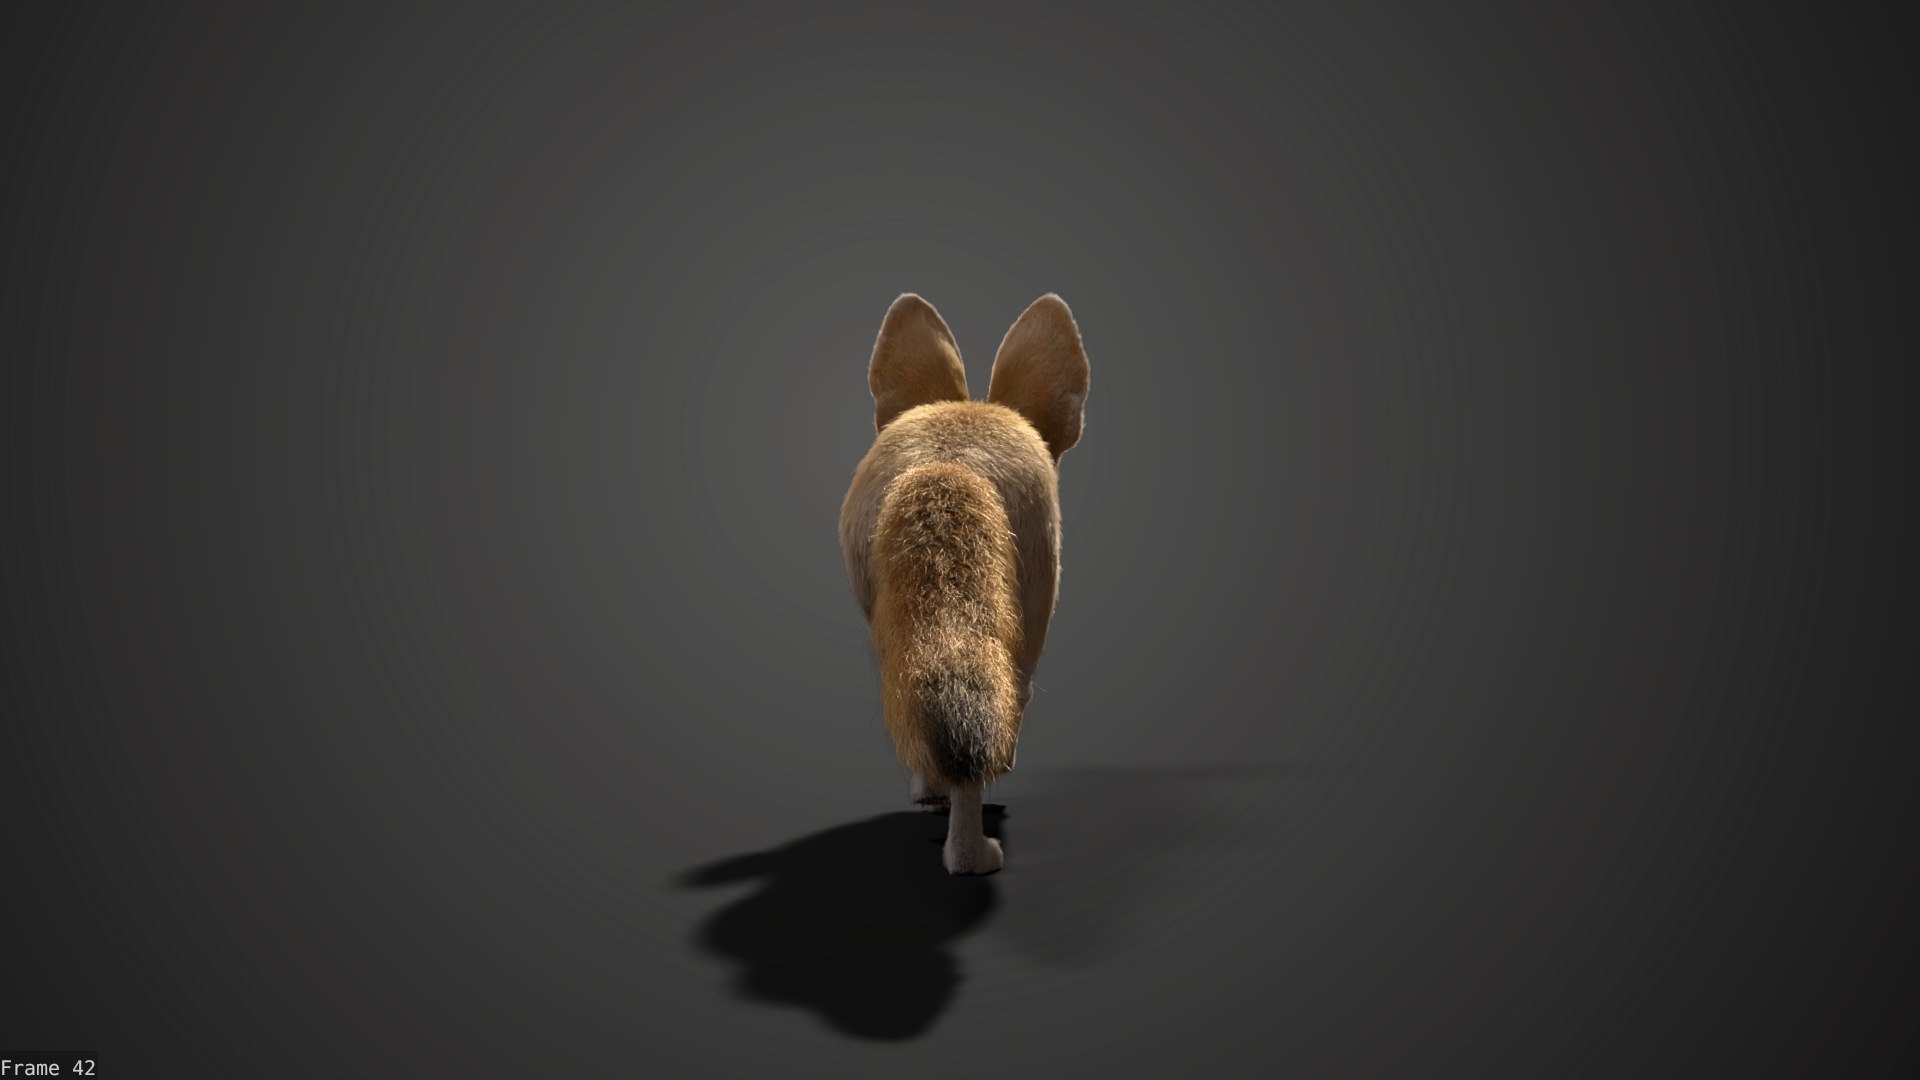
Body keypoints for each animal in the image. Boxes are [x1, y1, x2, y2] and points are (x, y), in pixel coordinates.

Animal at [839, 292, 1091, 875]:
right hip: (1028, 609)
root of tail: (948, 468)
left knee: (912, 699)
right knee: (996, 711)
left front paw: (929, 793)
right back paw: (975, 856)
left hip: (885, 613)